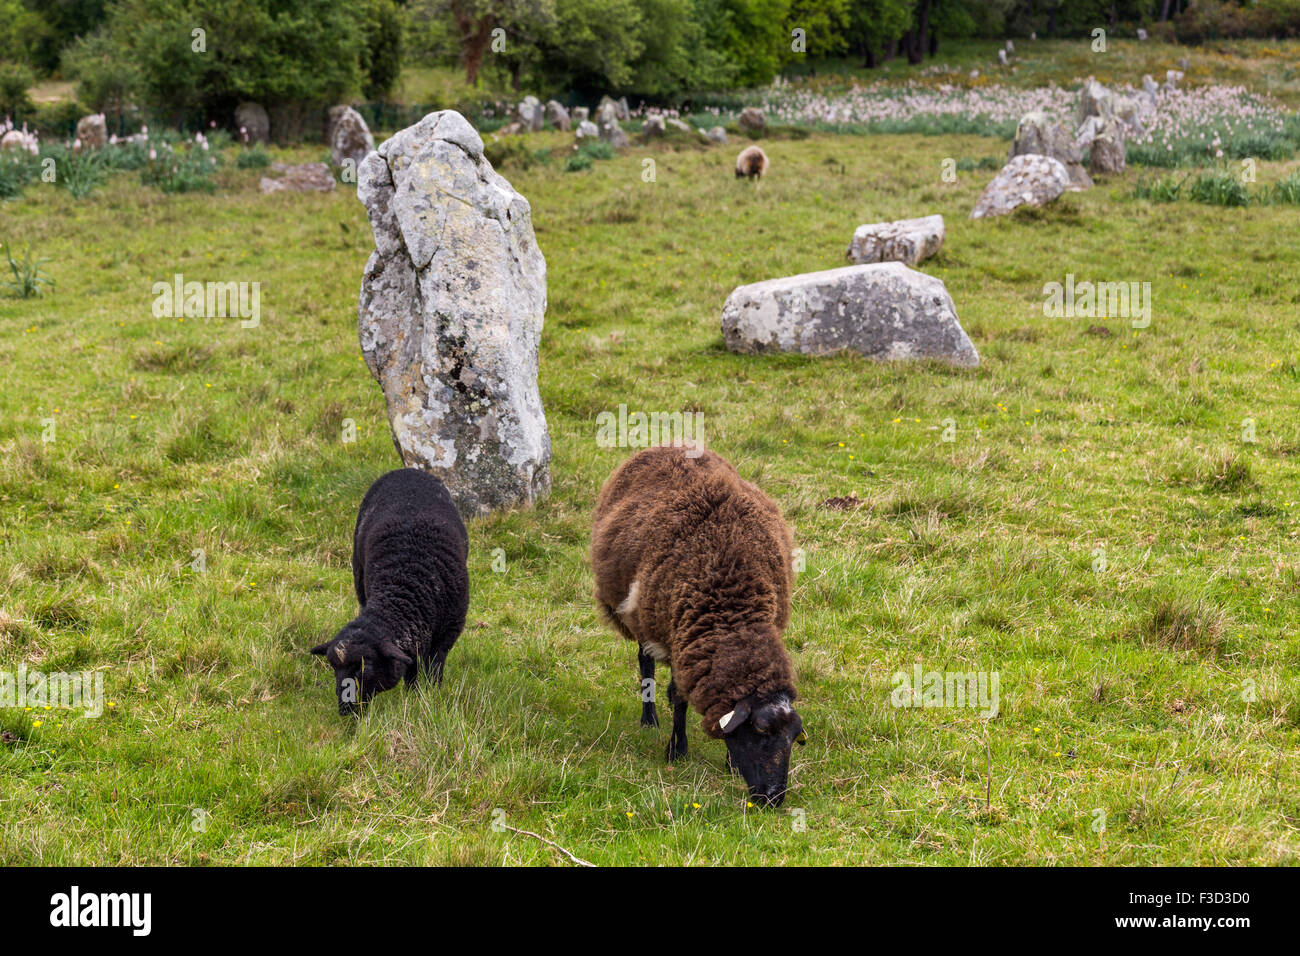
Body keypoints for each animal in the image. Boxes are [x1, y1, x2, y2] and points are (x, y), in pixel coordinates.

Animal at [311, 468, 469, 715]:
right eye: (333, 669)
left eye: (364, 668)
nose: (345, 710)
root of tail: (407, 470)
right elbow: (412, 667)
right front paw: (413, 694)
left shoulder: (447, 634)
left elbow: (434, 667)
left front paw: (430, 695)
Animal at [591, 445, 805, 806]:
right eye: (760, 731)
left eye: (793, 739)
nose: (773, 798)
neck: (734, 614)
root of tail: (669, 444)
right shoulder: (674, 632)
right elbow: (679, 700)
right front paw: (676, 751)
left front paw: (730, 763)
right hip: (646, 620)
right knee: (645, 662)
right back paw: (649, 718)